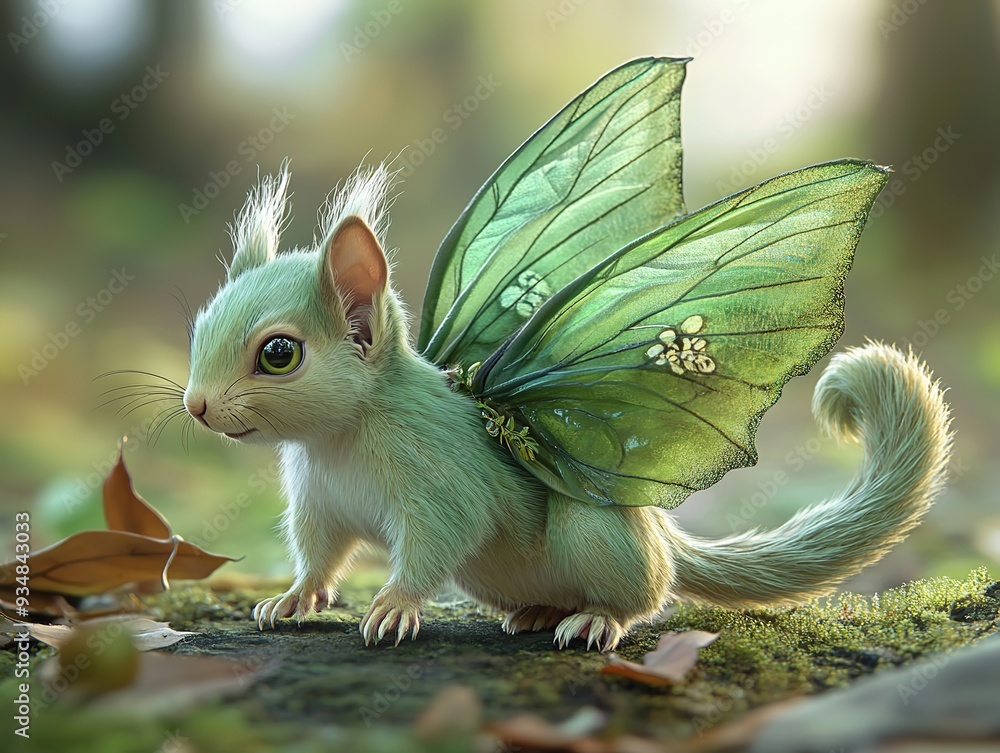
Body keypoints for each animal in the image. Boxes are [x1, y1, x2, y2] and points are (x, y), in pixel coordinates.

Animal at [182, 164, 952, 651]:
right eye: (199, 325)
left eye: (279, 353)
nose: (195, 407)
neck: (341, 436)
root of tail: (661, 537)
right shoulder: (317, 501)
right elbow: (318, 555)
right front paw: (290, 598)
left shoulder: (439, 485)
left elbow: (432, 545)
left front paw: (395, 604)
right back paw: (535, 612)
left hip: (596, 534)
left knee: (646, 597)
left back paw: (595, 622)